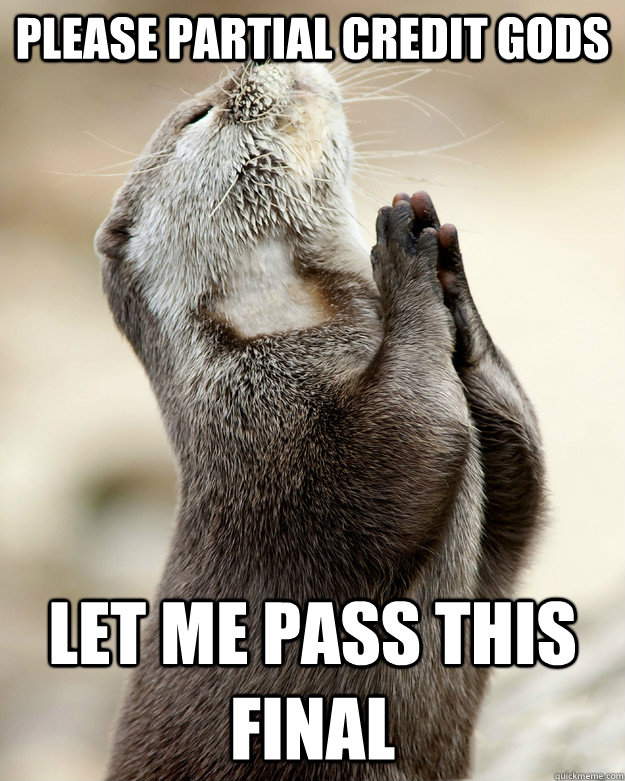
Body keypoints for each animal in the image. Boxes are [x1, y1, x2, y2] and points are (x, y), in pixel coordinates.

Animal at [96, 62, 544, 780]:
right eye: (199, 116)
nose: (257, 59)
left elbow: (522, 480)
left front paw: (450, 277)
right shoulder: (275, 442)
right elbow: (405, 445)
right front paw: (402, 258)